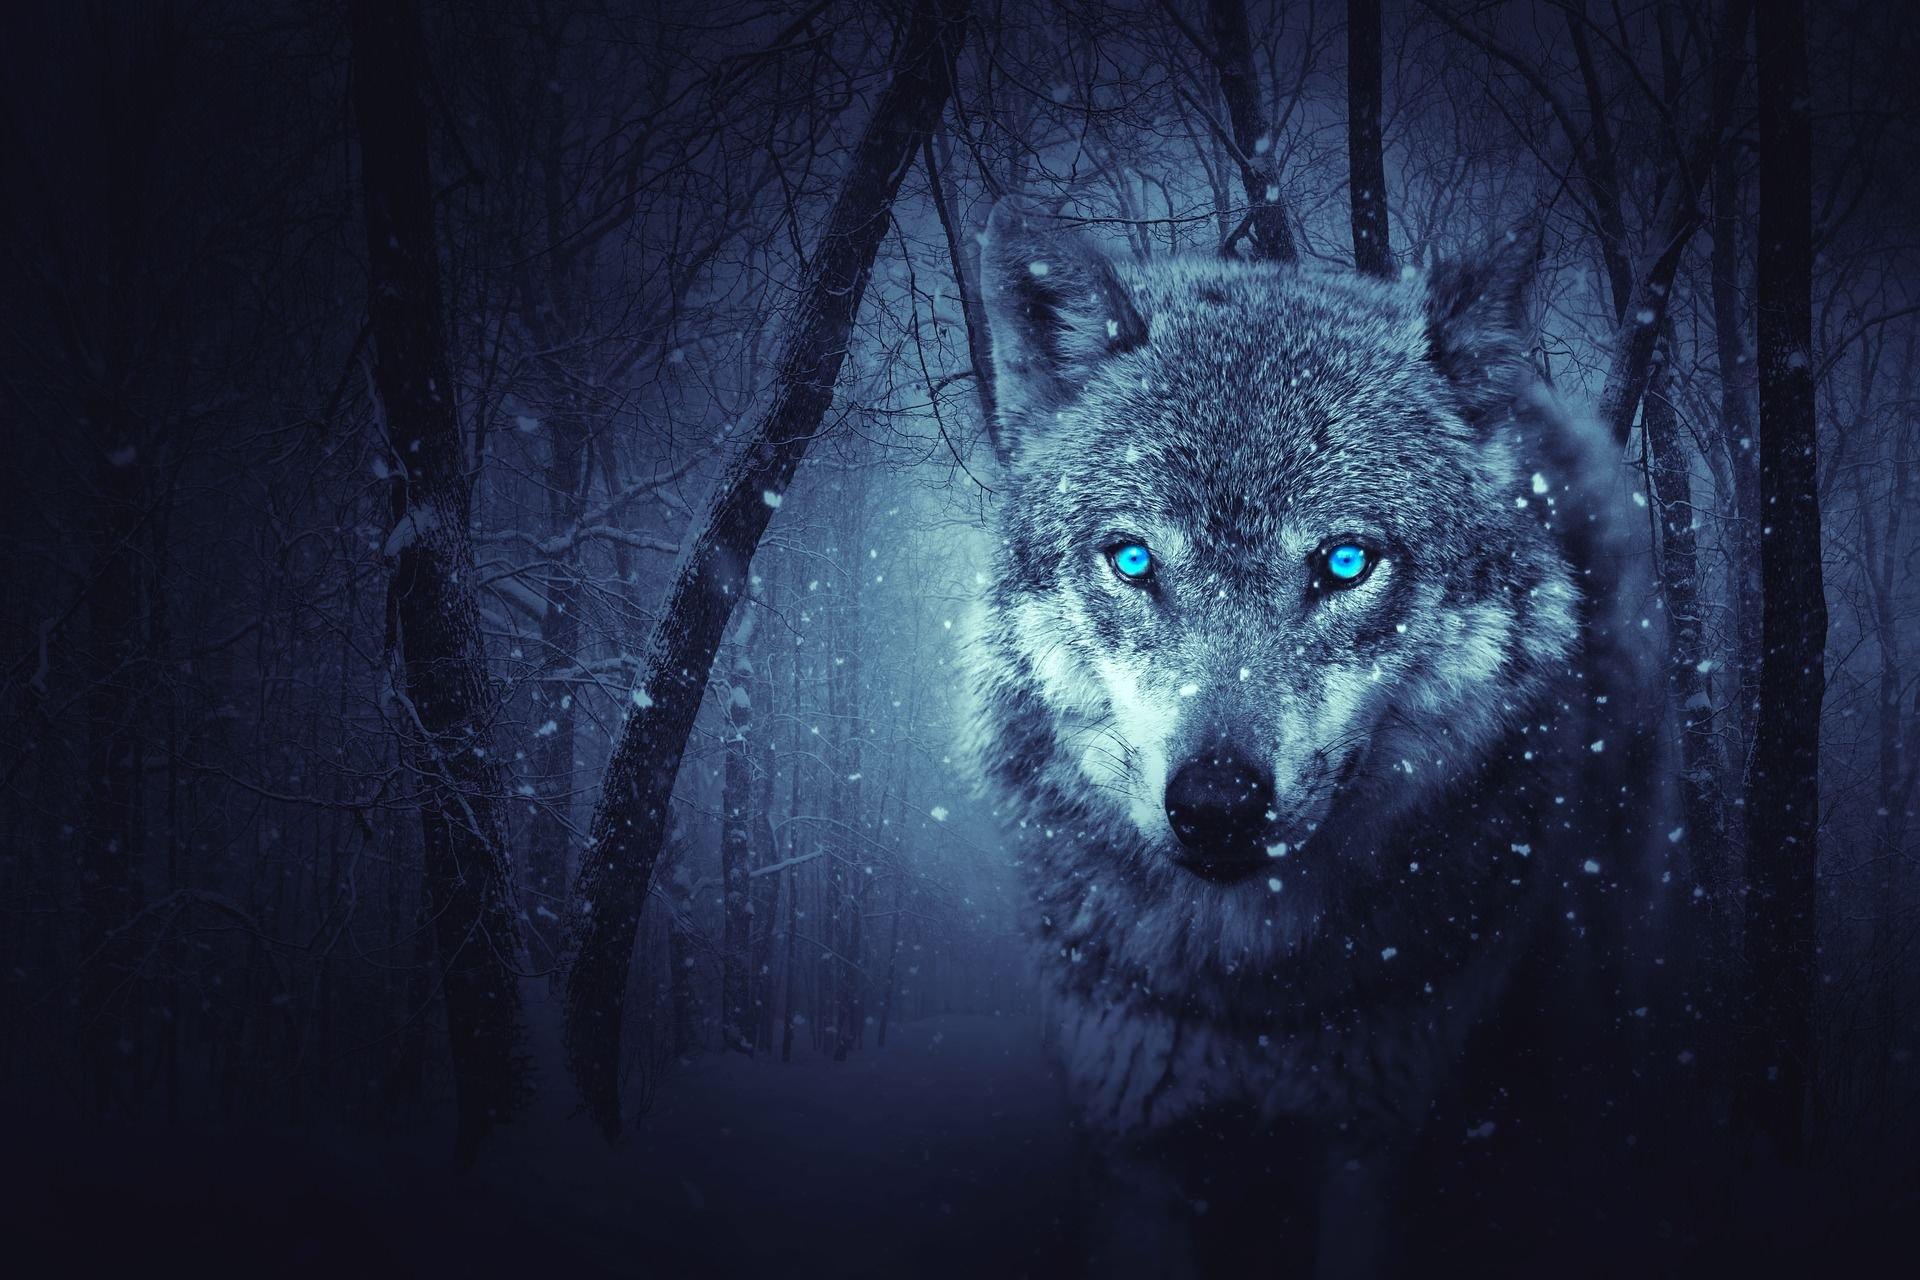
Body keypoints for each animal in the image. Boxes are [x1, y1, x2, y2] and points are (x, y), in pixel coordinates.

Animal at [963, 202, 1670, 1276]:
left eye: (1343, 563)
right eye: (1132, 560)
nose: (1216, 804)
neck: (1249, 994)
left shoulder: (1374, 1147)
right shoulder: (1134, 1147)